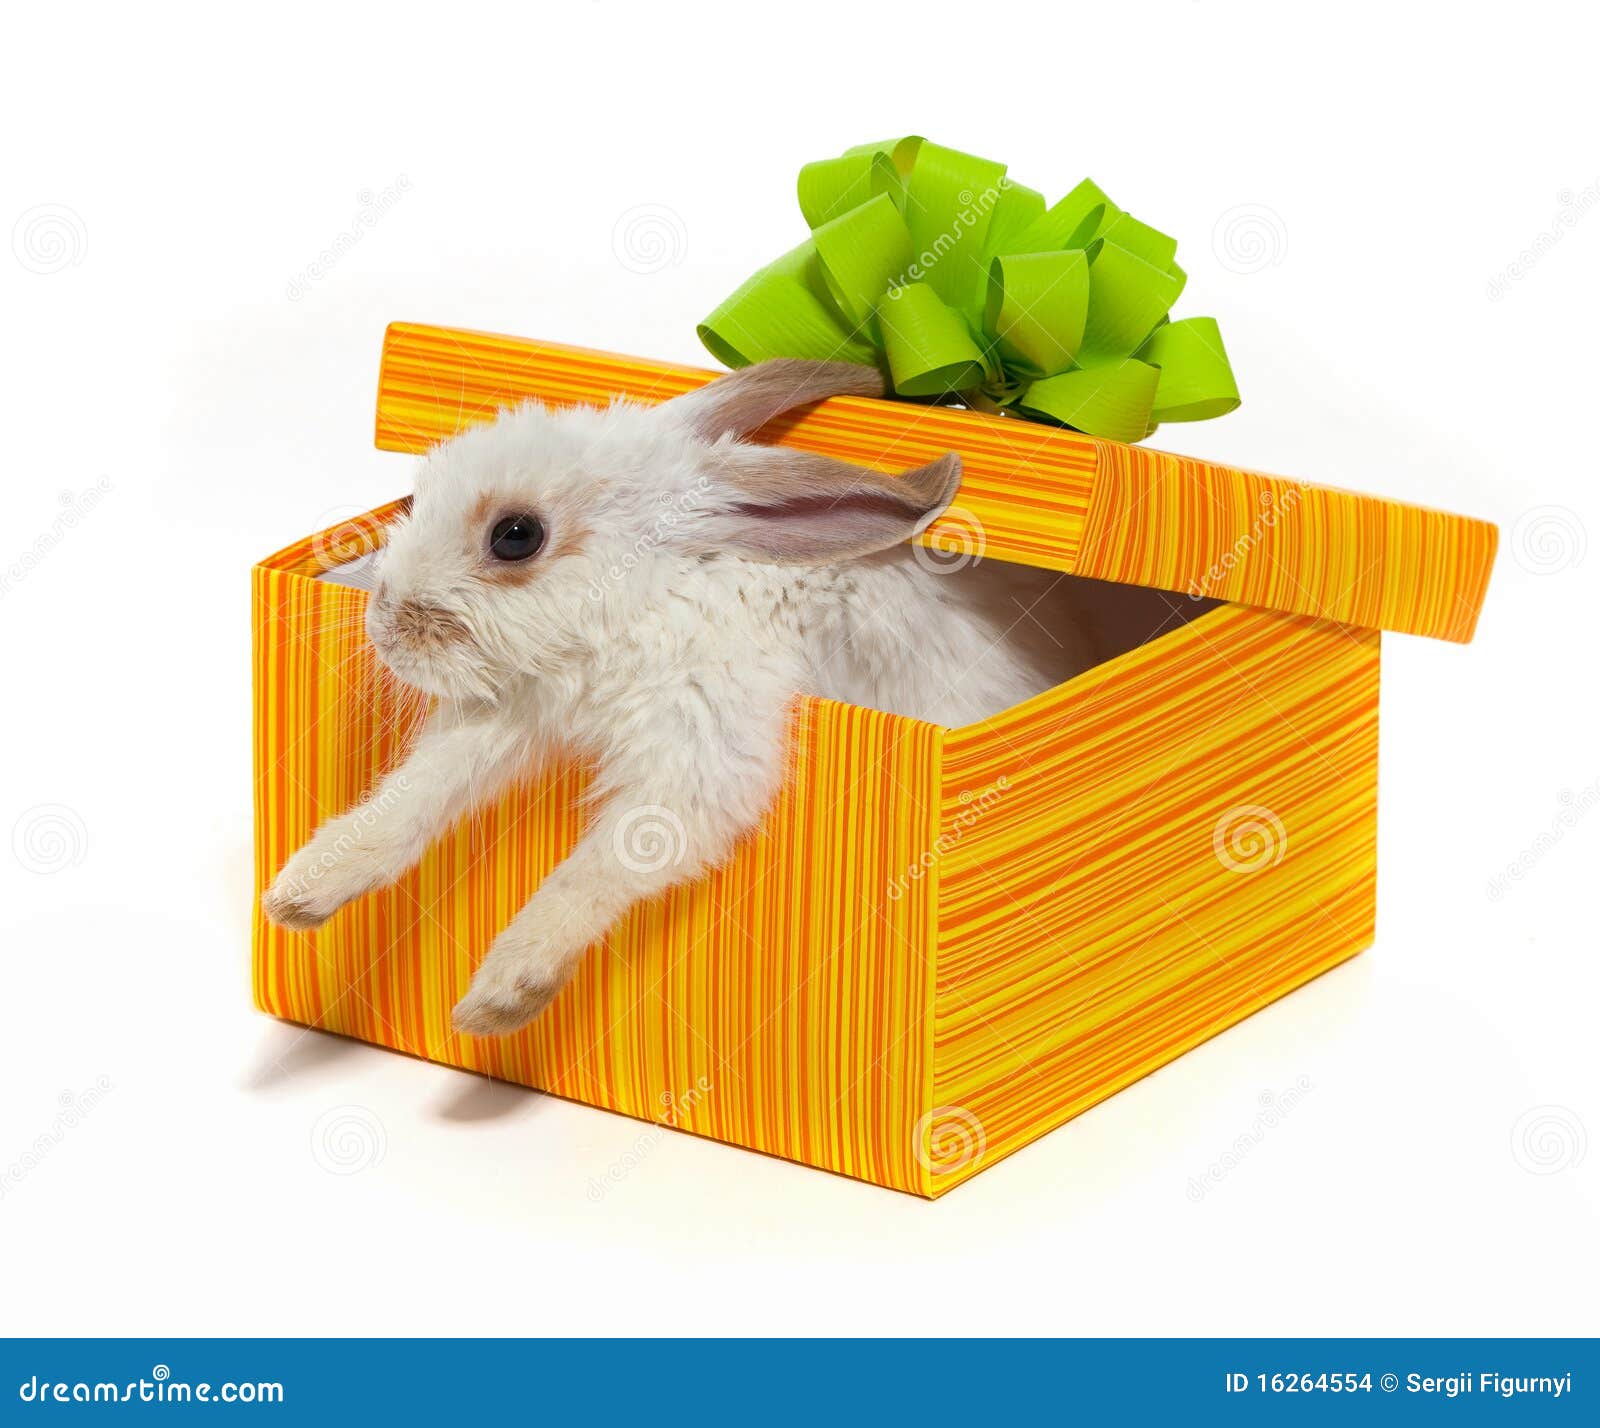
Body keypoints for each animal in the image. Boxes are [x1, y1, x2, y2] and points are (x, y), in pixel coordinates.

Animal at [261, 359, 1104, 1036]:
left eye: (515, 536)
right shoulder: (510, 716)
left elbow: (601, 867)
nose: (382, 623)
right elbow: (411, 800)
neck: (653, 591)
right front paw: (296, 897)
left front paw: (500, 996)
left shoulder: (696, 753)